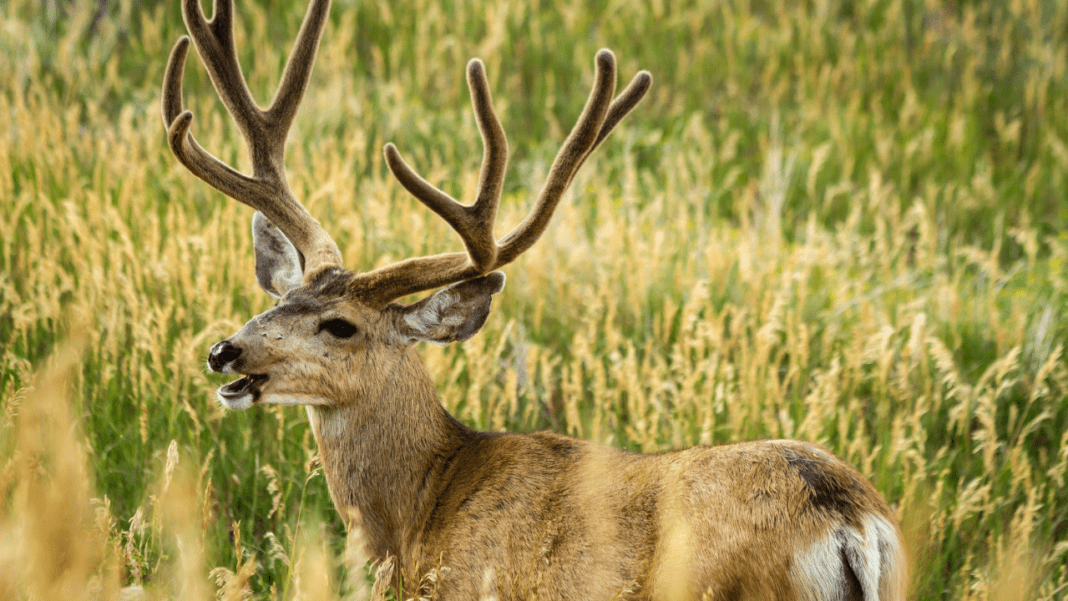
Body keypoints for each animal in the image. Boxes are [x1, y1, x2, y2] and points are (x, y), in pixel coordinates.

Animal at [161, 0, 908, 599]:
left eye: (341, 326)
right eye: (282, 297)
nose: (225, 352)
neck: (420, 508)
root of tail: (846, 519)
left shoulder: (470, 582)